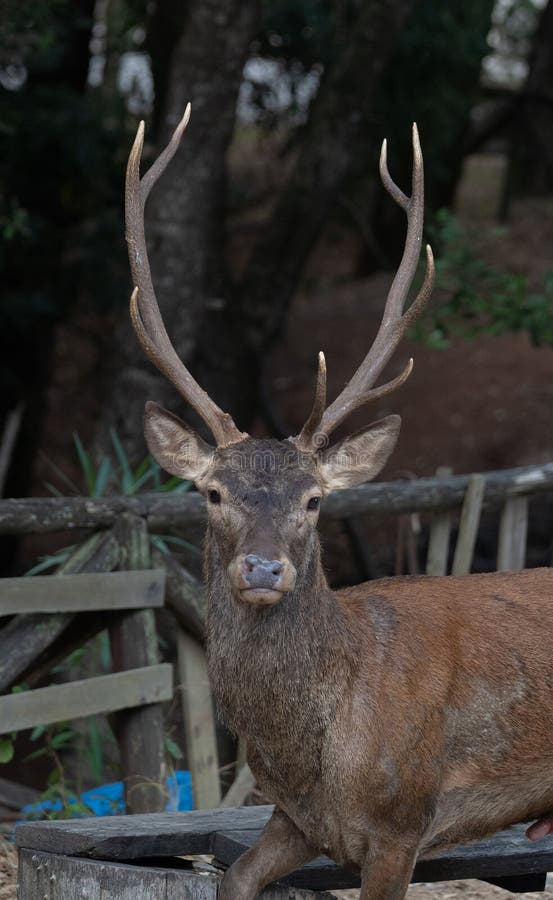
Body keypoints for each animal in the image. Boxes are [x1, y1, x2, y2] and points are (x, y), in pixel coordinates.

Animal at [125, 106, 553, 900]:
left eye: (316, 500)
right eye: (212, 491)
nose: (264, 569)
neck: (316, 756)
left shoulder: (401, 821)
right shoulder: (294, 819)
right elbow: (234, 879)